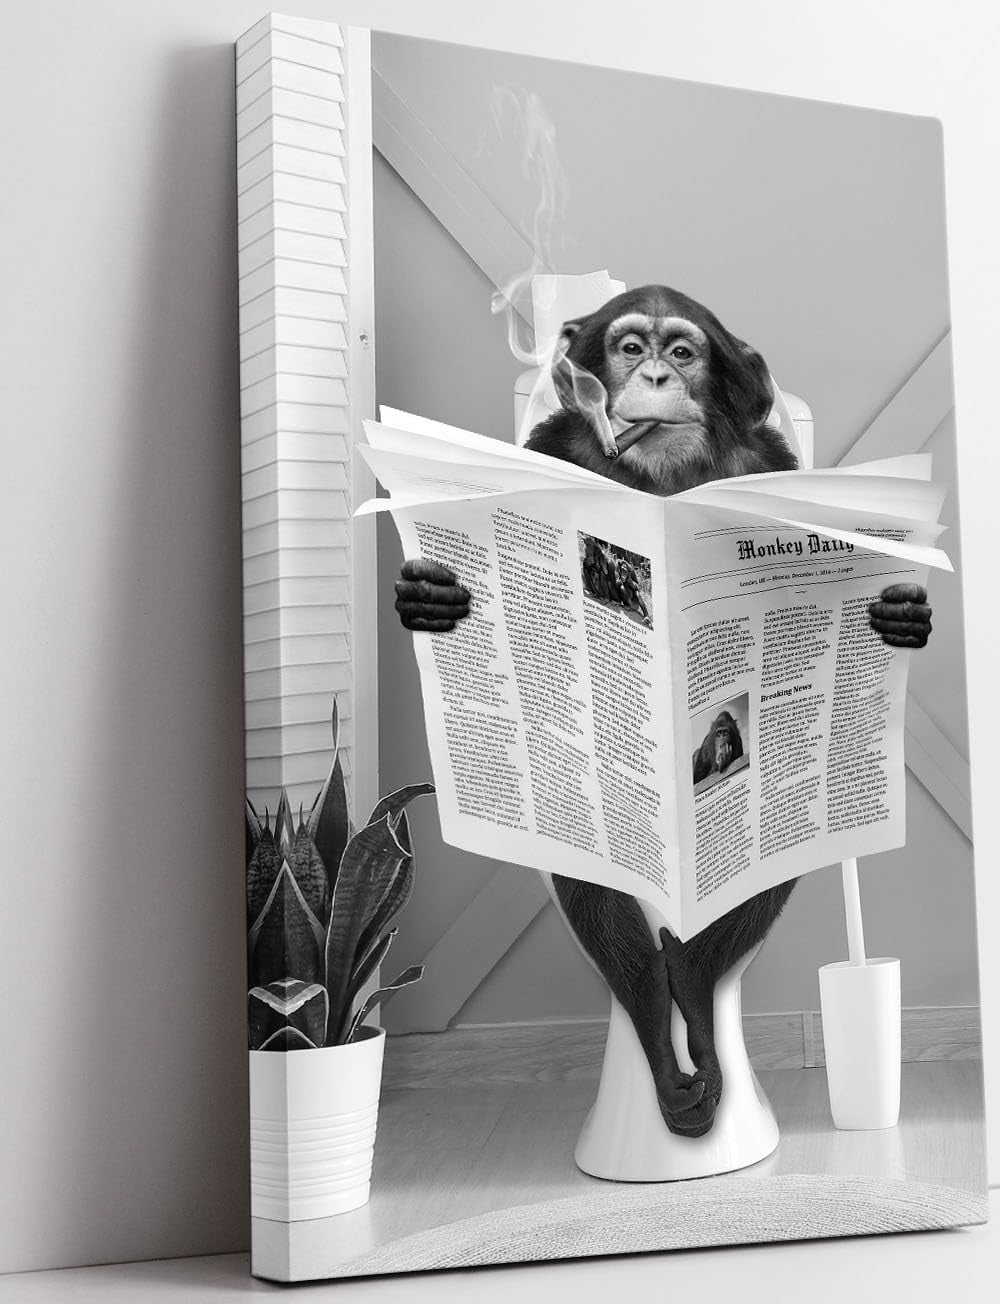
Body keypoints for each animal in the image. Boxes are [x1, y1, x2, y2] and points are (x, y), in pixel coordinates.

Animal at [394, 286, 934, 1138]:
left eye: (683, 351)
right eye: (628, 347)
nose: (652, 373)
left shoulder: (771, 466)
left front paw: (900, 613)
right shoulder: (550, 453)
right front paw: (430, 596)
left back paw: (696, 984)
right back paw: (658, 1012)